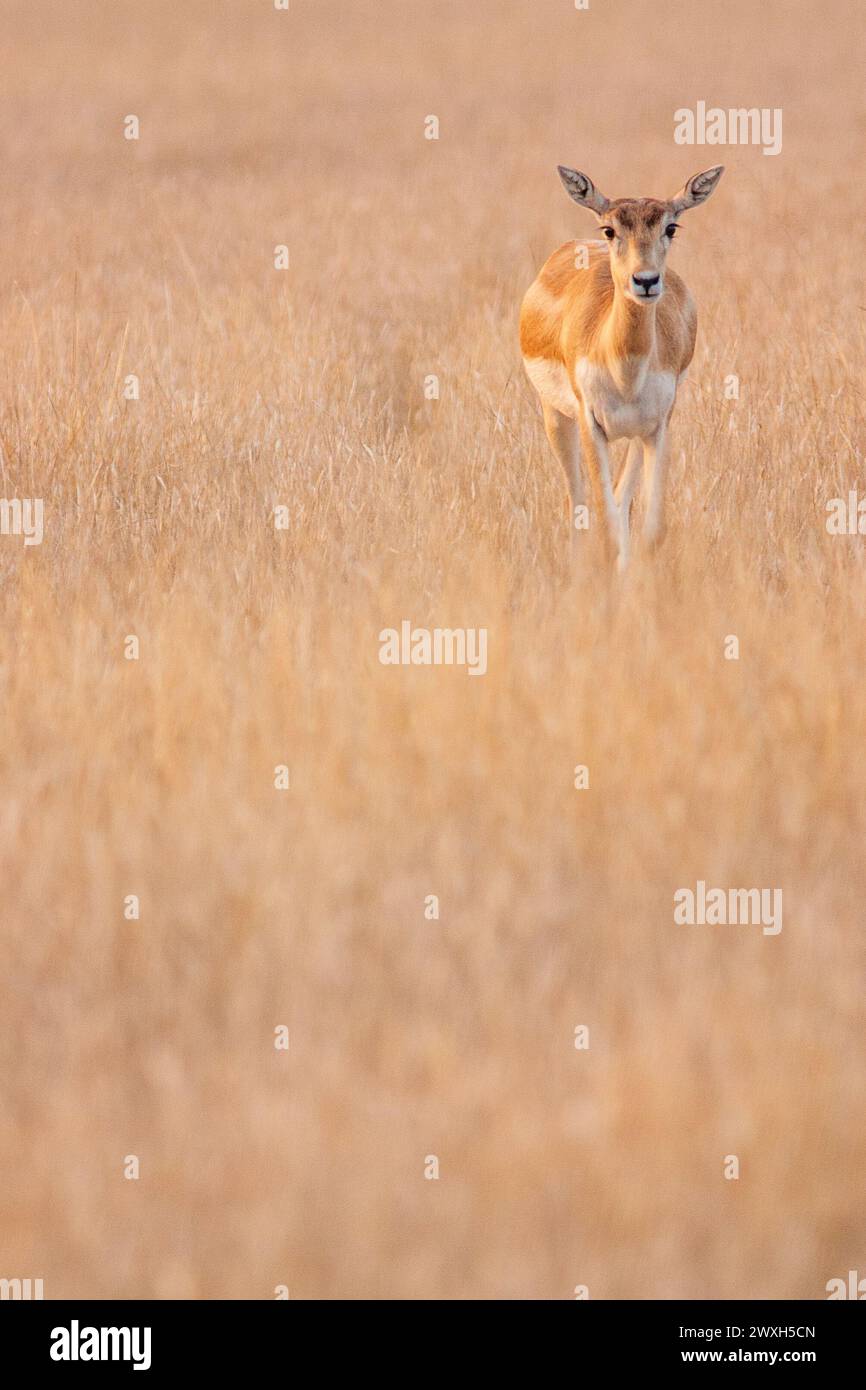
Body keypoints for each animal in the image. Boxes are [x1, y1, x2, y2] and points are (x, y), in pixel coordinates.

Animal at [519, 164, 724, 568]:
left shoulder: (659, 426)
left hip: (634, 434)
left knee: (619, 497)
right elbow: (606, 527)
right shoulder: (591, 423)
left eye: (670, 227)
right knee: (578, 501)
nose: (645, 280)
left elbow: (651, 531)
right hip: (556, 418)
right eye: (610, 229)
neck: (625, 370)